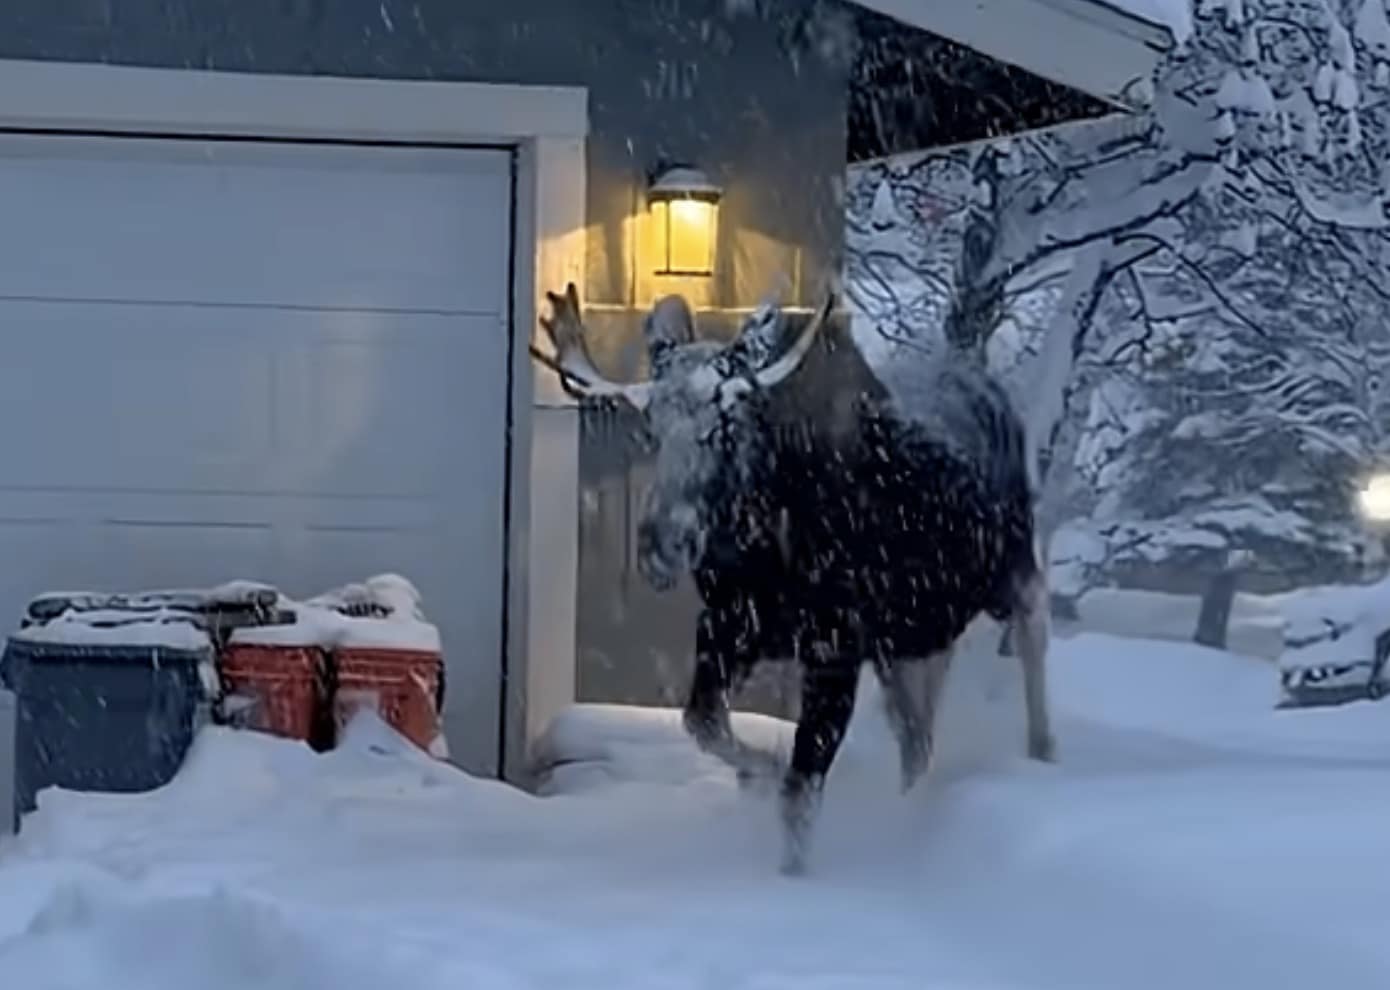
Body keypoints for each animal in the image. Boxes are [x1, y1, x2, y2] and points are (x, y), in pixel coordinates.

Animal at [534, 283, 1056, 875]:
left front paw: (793, 871)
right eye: (652, 429)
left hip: (1010, 569)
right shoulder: (729, 628)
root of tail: (988, 384)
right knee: (918, 736)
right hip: (911, 640)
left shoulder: (834, 648)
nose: (659, 546)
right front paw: (758, 774)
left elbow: (800, 793)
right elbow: (706, 723)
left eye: (725, 427)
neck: (767, 548)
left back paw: (1042, 750)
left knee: (1034, 630)